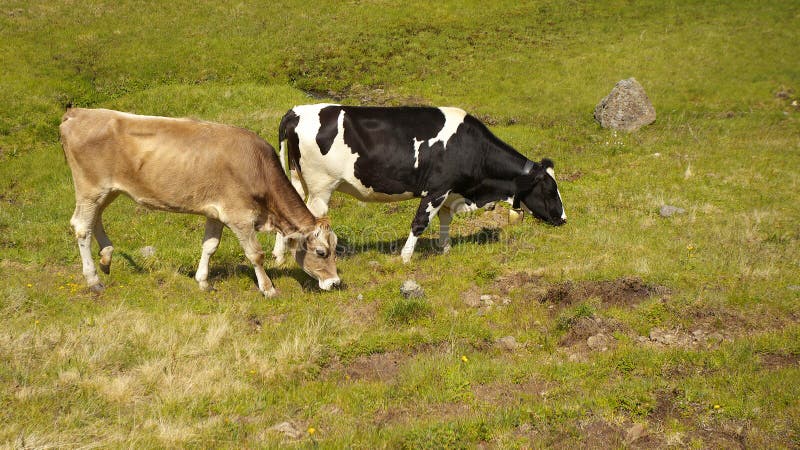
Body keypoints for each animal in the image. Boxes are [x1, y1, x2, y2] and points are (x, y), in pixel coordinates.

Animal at [58, 107, 340, 298]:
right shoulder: (240, 216)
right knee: (82, 226)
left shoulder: (216, 213)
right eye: (321, 252)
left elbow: (210, 246)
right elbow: (255, 254)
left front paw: (203, 281)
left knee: (95, 219)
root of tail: (78, 113)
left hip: (107, 191)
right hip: (90, 188)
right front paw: (268, 289)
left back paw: (106, 258)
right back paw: (93, 279)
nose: (336, 282)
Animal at [272, 104, 564, 264]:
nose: (563, 219)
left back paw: (280, 255)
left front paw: (445, 249)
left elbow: (445, 219)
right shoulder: (437, 188)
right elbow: (420, 222)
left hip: (298, 180)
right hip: (321, 187)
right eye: (550, 190)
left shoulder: (450, 191)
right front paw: (405, 257)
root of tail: (297, 111)